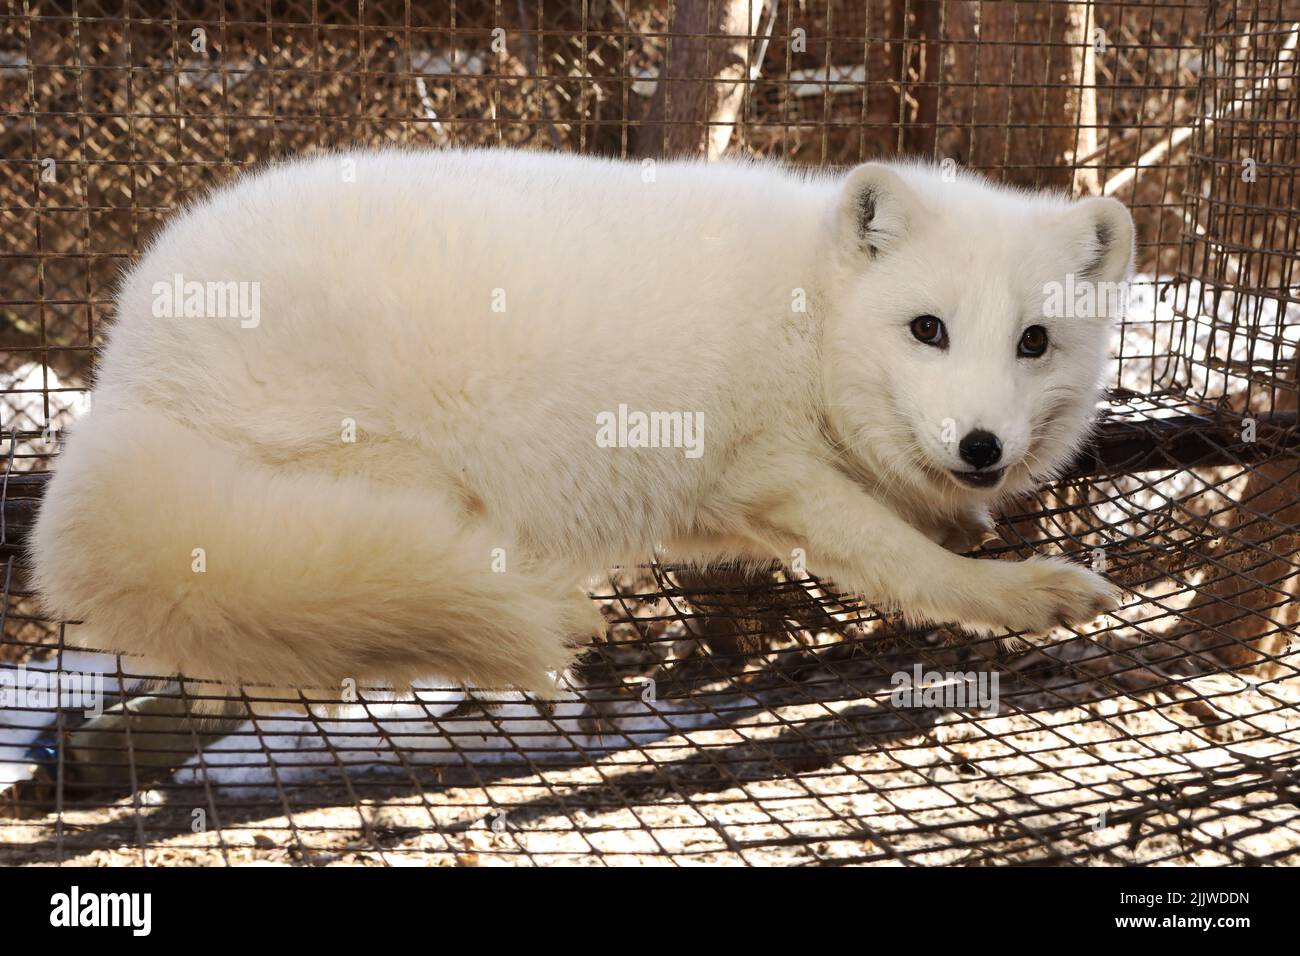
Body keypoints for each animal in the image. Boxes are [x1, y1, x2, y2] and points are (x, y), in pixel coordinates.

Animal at [29, 148, 1133, 698]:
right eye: (927, 329)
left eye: (1034, 341)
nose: (982, 447)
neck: (811, 310)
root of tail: (122, 376)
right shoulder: (766, 467)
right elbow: (899, 561)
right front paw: (1012, 591)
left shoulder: (720, 497)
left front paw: (961, 516)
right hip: (391, 465)